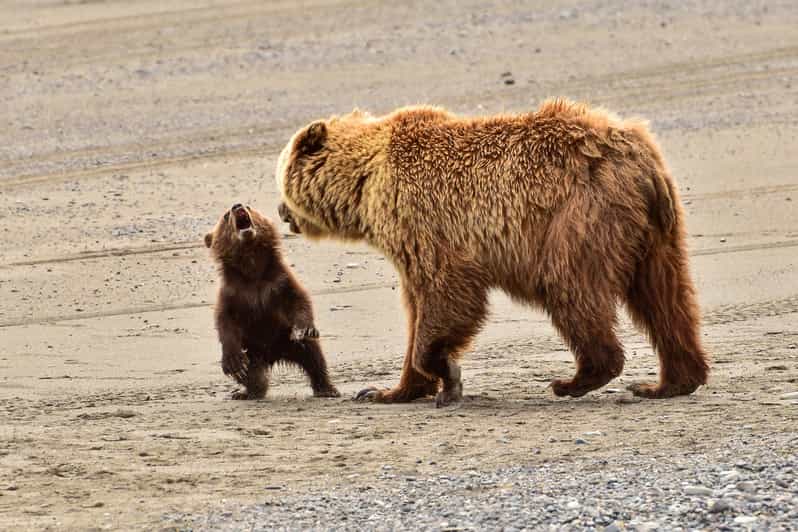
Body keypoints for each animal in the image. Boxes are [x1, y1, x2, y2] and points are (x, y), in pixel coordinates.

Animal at [205, 203, 340, 400]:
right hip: (252, 350)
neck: (252, 270)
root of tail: (273, 355)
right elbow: (224, 321)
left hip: (286, 338)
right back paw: (248, 390)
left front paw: (304, 329)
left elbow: (299, 300)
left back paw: (326, 388)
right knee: (251, 372)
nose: (237, 206)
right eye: (225, 215)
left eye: (249, 206)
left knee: (313, 355)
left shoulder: (279, 281)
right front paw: (234, 362)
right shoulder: (234, 293)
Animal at [274, 99, 710, 407]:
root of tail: (641, 158)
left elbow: (447, 294)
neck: (366, 182)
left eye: (280, 179)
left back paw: (575, 379)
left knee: (571, 287)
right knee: (666, 298)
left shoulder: (424, 220)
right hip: (655, 231)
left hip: (579, 217)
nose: (279, 211)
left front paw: (445, 375)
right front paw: (388, 391)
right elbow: (416, 310)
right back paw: (669, 381)